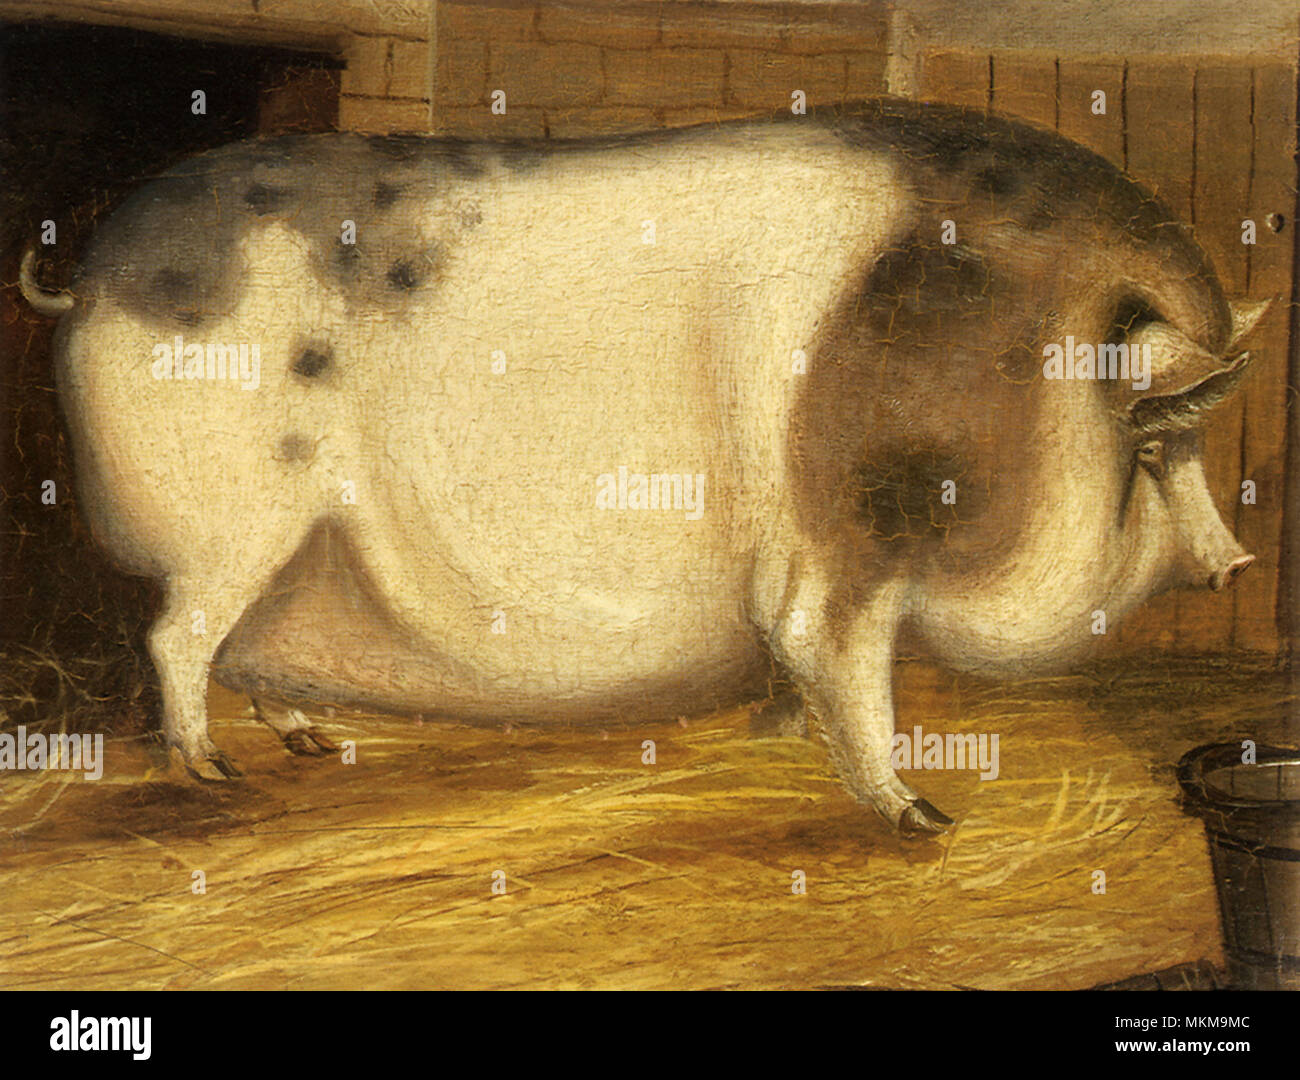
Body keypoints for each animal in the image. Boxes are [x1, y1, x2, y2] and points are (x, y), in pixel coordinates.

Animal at [22, 99, 1266, 835]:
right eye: (1161, 437)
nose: (1240, 562)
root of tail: (89, 276)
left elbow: (803, 668)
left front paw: (778, 737)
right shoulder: (844, 551)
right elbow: (834, 651)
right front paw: (923, 820)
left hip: (280, 548)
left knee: (238, 646)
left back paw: (312, 743)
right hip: (228, 524)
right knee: (175, 637)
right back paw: (211, 775)